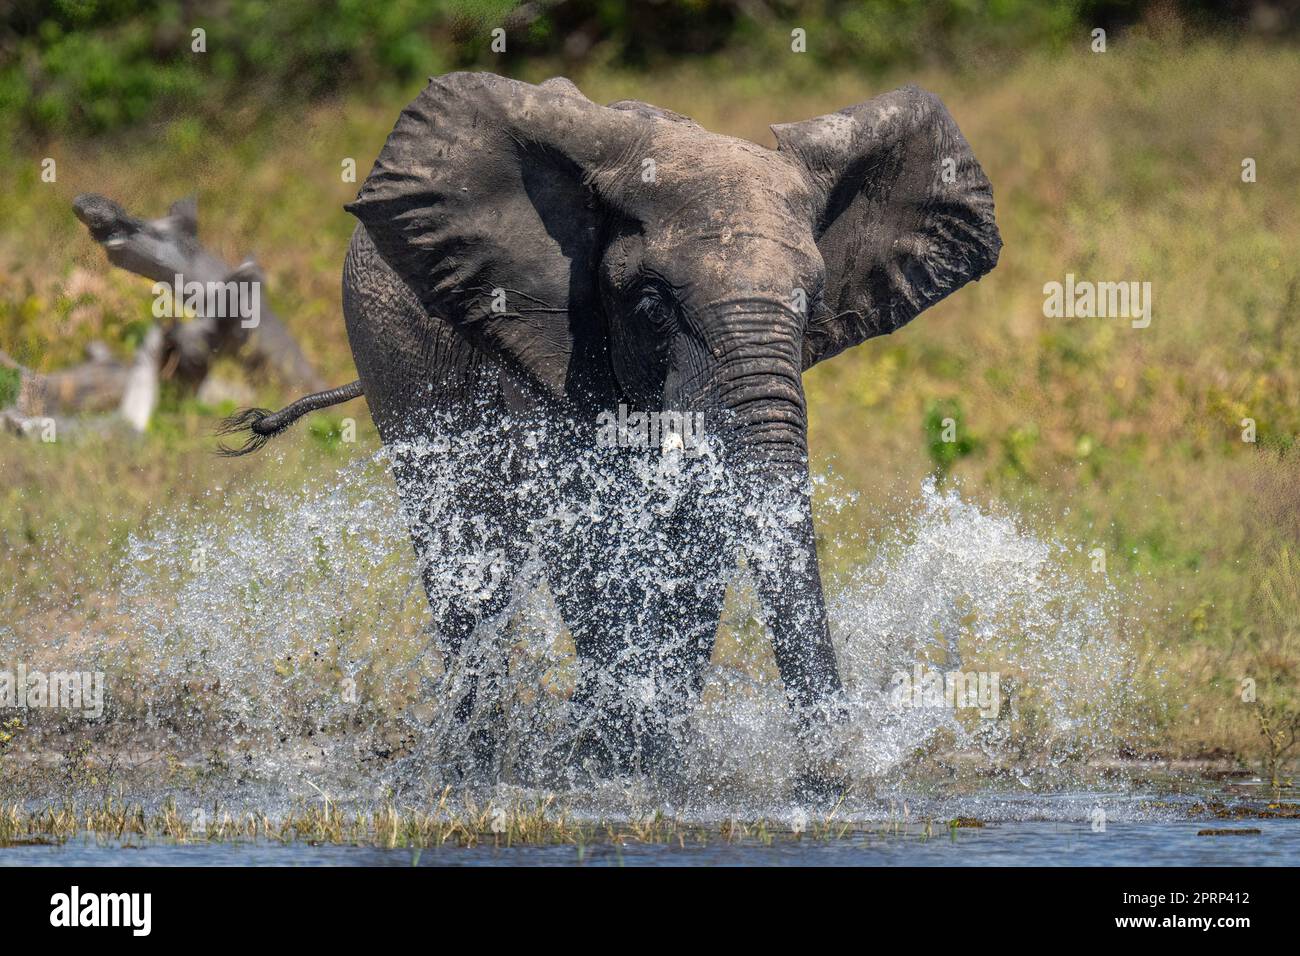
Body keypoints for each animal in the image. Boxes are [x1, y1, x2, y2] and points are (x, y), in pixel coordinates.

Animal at [220, 73, 1000, 791]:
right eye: (653, 307)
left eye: (810, 305)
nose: (830, 774)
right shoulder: (547, 339)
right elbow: (587, 536)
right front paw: (609, 770)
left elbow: (695, 543)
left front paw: (646, 768)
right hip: (386, 350)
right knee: (465, 555)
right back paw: (468, 773)